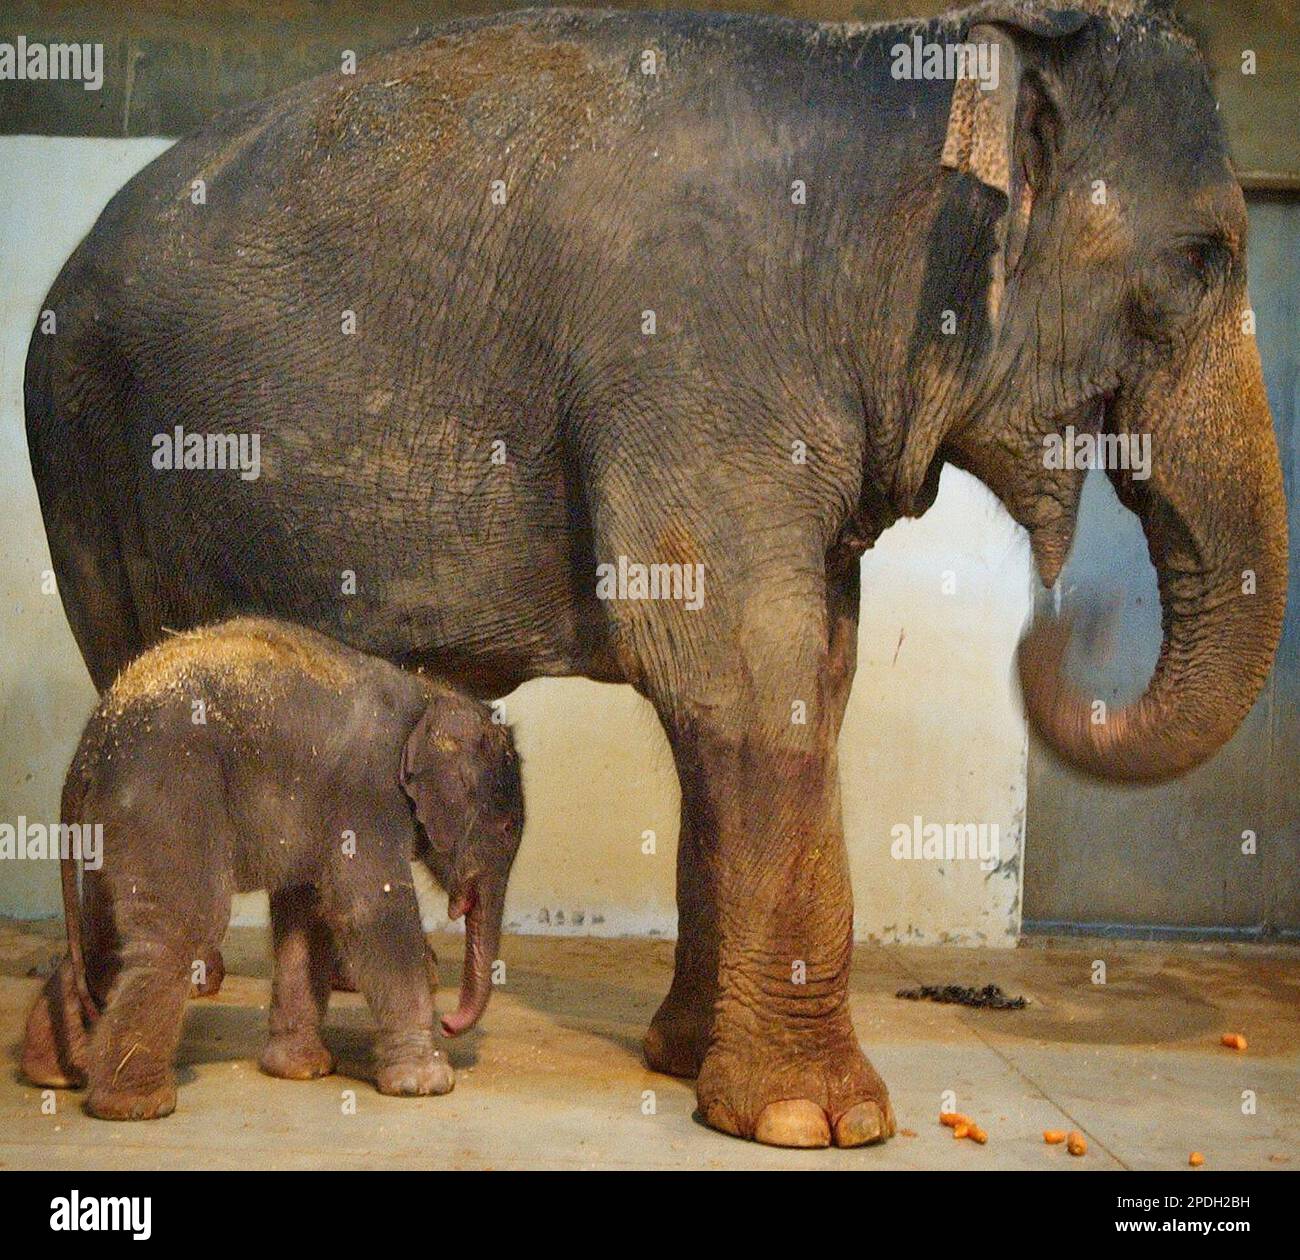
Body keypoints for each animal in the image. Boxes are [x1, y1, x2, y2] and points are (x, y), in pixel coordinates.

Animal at [20, 618, 525, 1119]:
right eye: (504, 829)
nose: (452, 1022)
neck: (430, 693)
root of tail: (89, 745)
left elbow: (305, 914)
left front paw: (302, 1070)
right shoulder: (367, 795)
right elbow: (370, 912)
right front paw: (426, 1084)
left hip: (111, 823)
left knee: (104, 932)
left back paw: (57, 1075)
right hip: (165, 797)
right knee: (180, 930)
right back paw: (137, 1106)